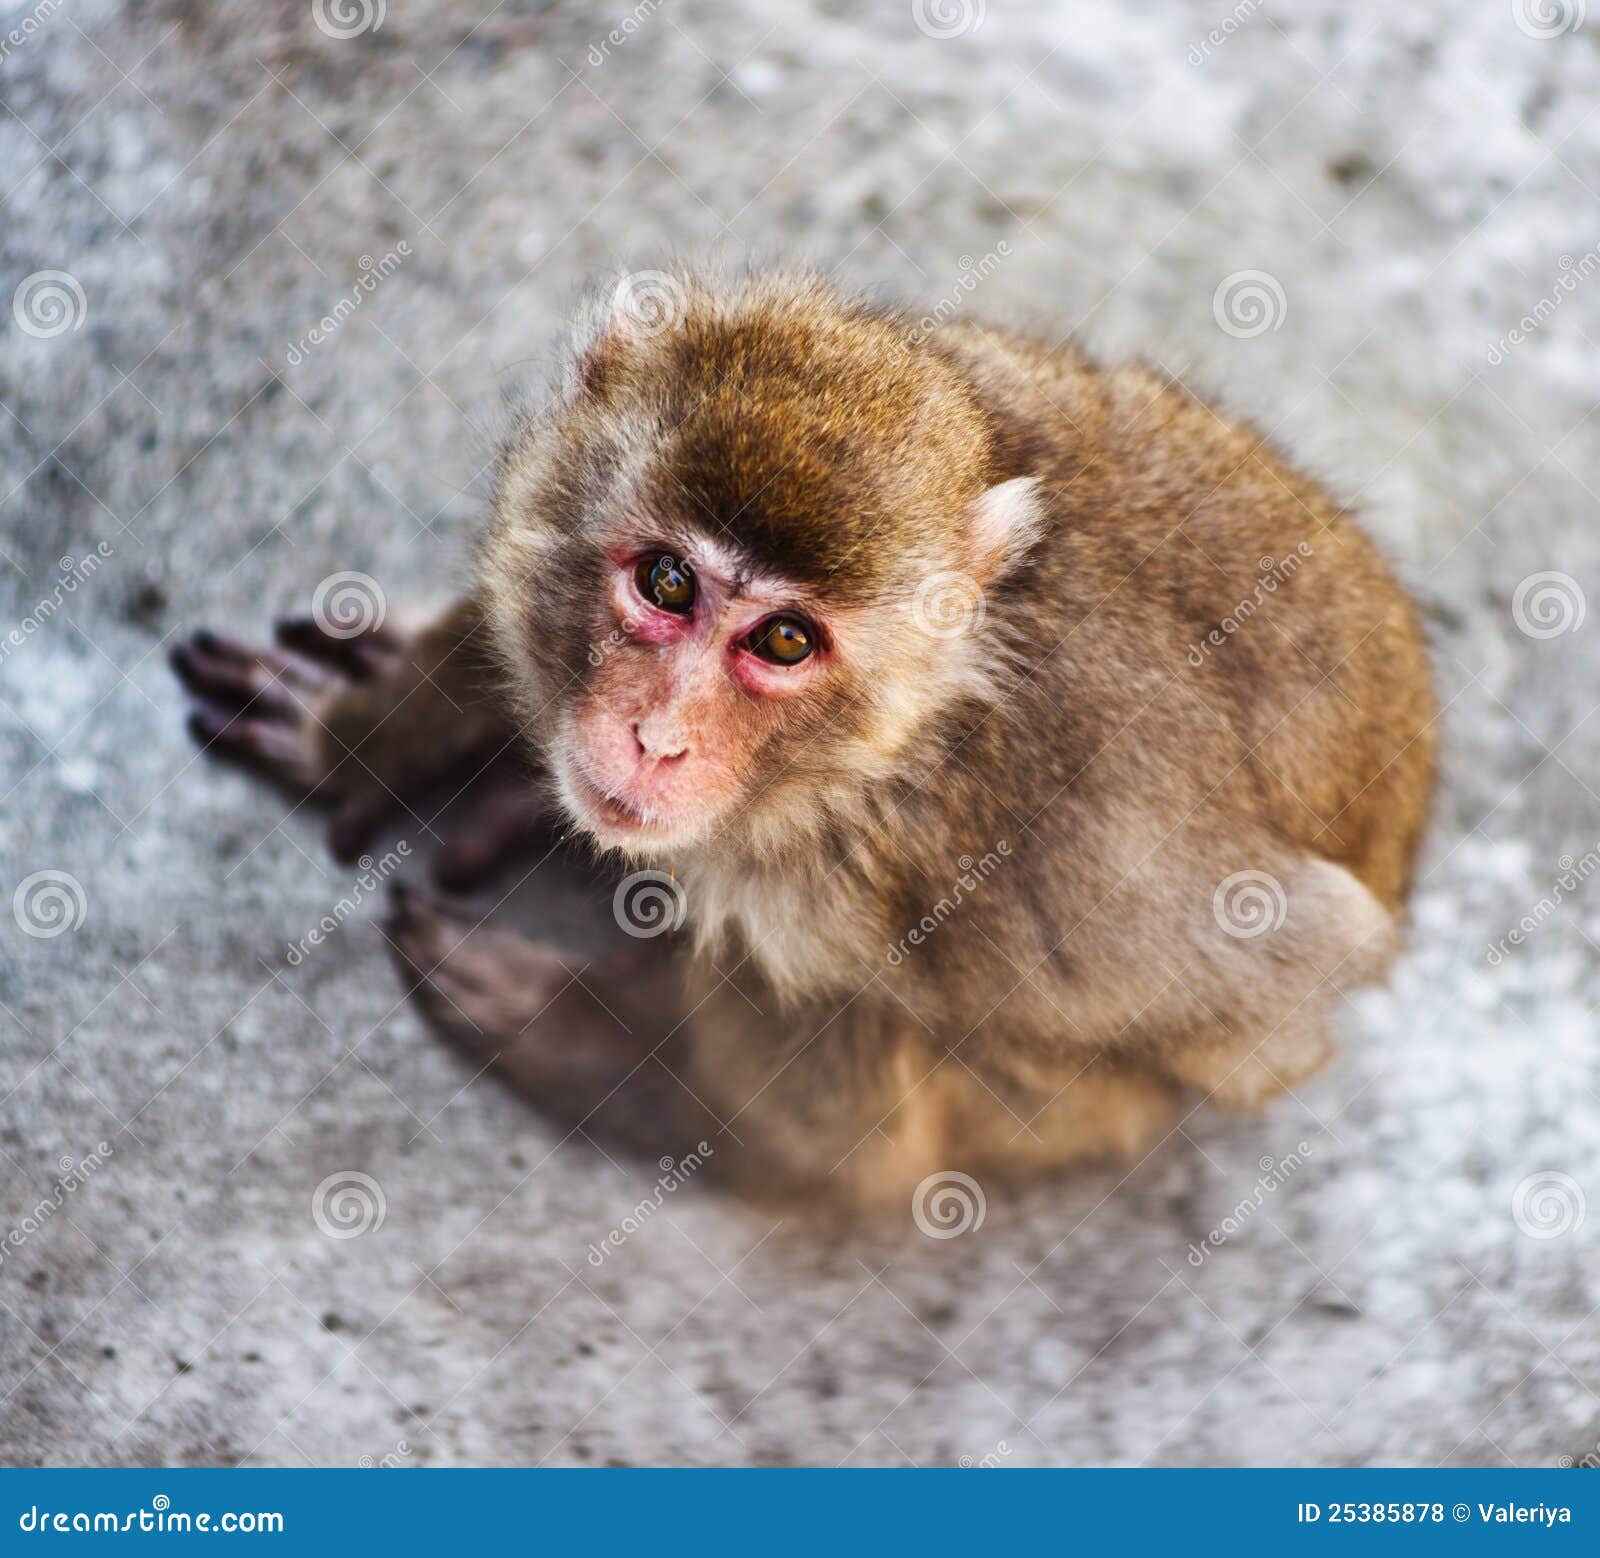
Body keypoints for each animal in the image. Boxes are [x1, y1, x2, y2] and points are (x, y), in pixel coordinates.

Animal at [173, 267, 1437, 1206]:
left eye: (784, 641)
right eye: (666, 581)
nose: (655, 737)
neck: (916, 722)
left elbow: (1280, 965)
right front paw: (360, 734)